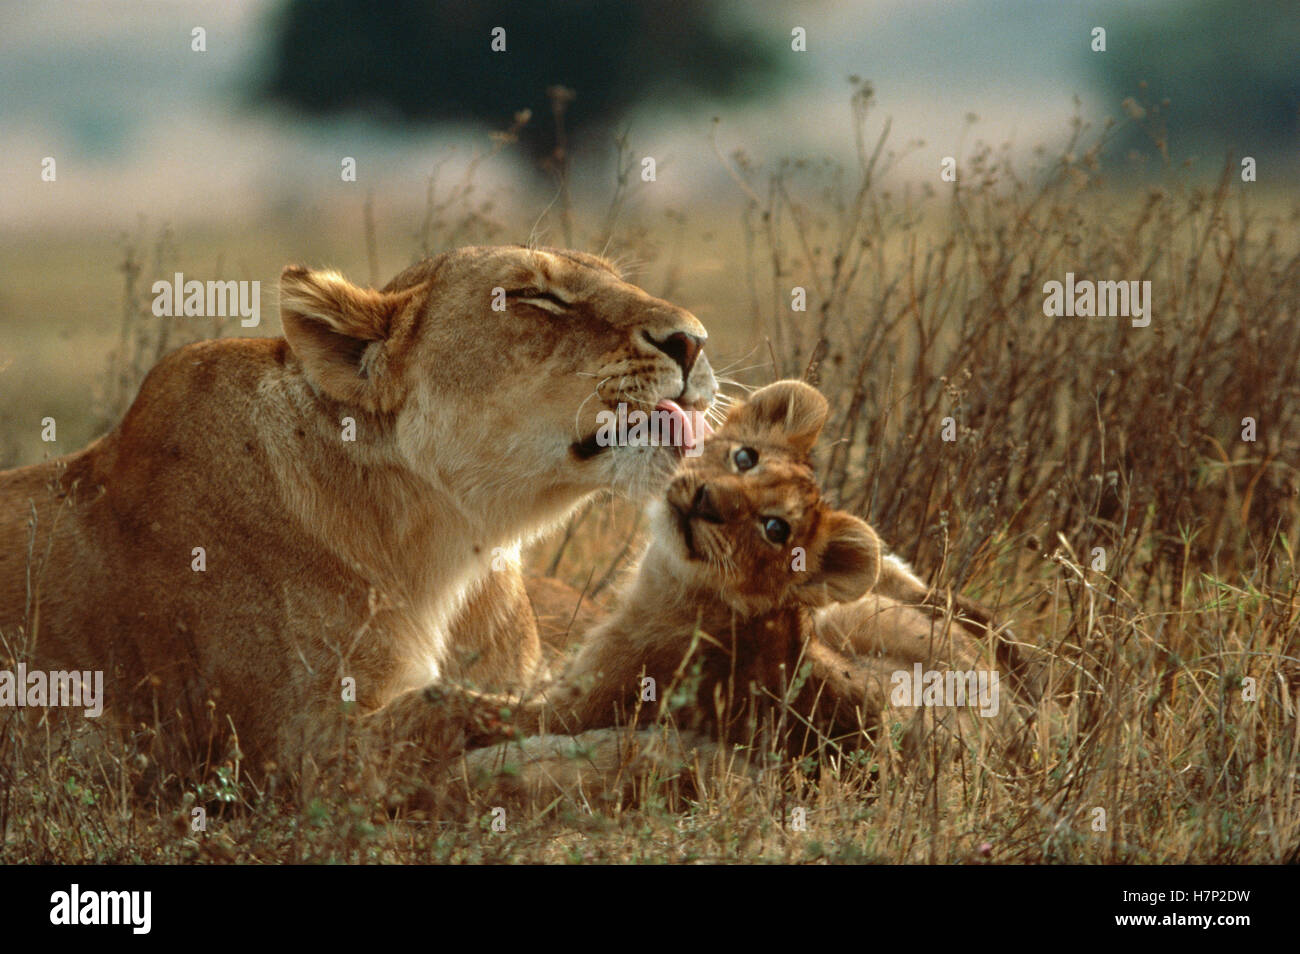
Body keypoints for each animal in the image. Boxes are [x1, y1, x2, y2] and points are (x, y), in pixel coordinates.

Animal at [0, 246, 716, 783]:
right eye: (534, 296)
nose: (694, 340)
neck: (450, 543)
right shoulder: (295, 759)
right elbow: (449, 715)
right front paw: (661, 753)